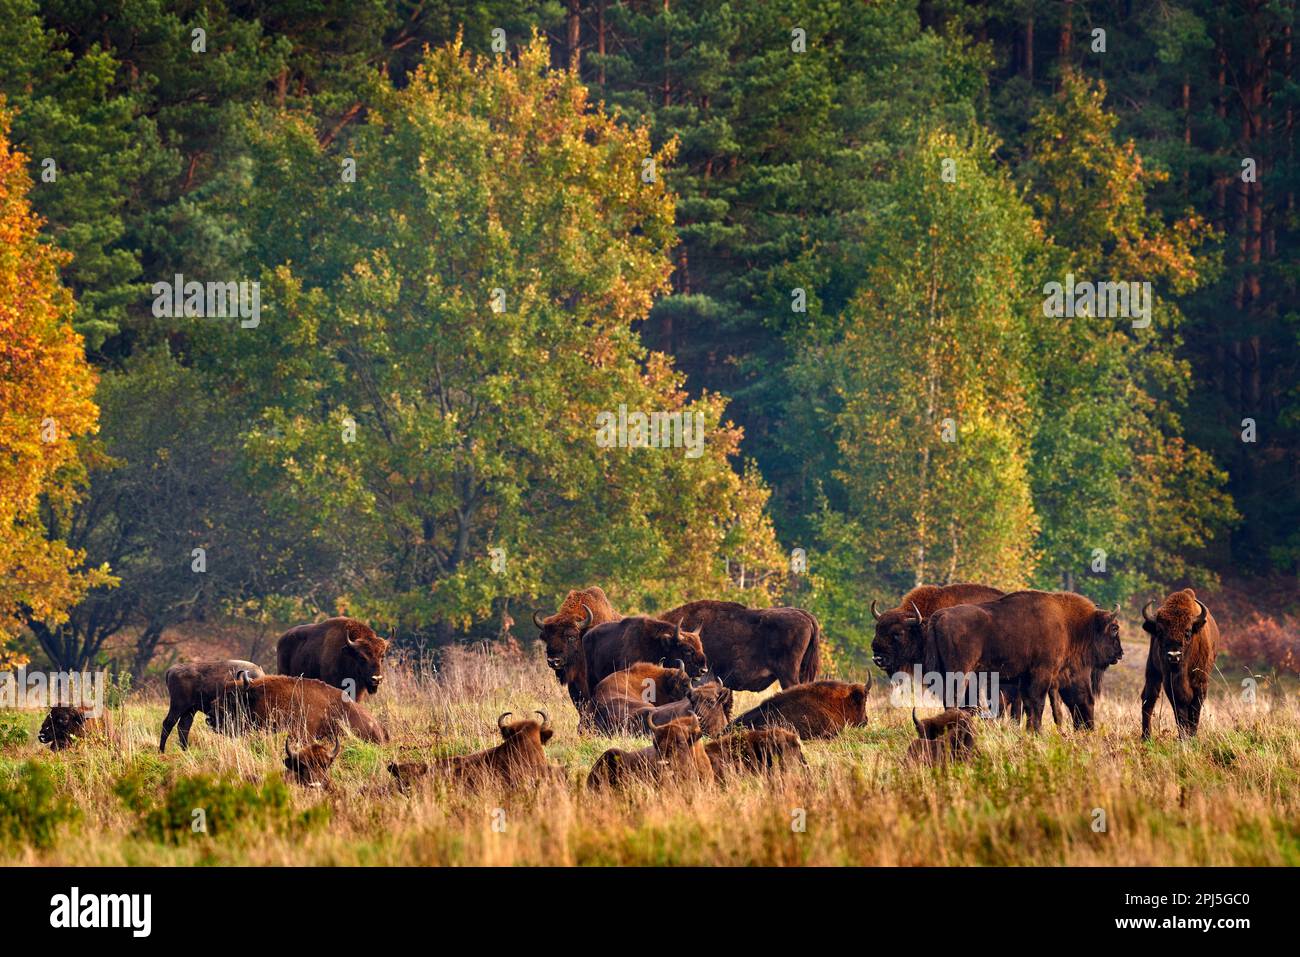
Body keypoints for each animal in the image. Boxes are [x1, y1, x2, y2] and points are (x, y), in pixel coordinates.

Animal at [923, 590, 1123, 732]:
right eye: (1114, 628)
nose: (1120, 653)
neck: (1070, 625)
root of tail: (938, 617)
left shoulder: (1026, 679)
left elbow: (1028, 706)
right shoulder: (1041, 674)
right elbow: (1037, 704)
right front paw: (1037, 732)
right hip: (959, 673)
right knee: (954, 701)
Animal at [1140, 589, 1219, 740]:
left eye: (1187, 632)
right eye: (1160, 632)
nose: (1173, 656)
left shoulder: (1200, 684)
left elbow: (1194, 711)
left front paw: (1191, 736)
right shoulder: (1170, 684)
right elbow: (1180, 711)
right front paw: (1184, 737)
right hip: (1152, 670)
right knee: (1149, 698)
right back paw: (1146, 737)